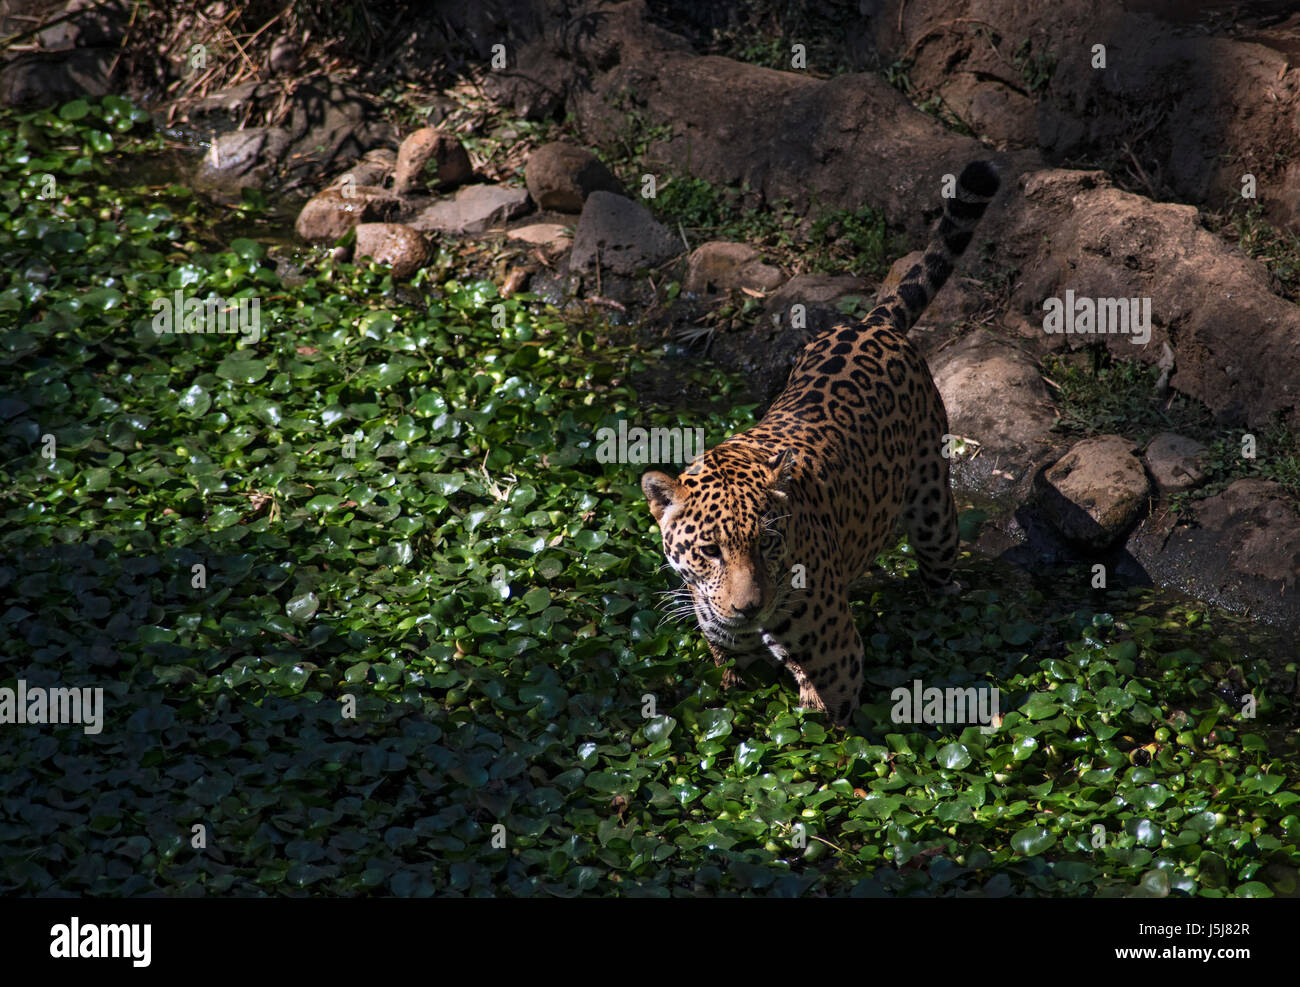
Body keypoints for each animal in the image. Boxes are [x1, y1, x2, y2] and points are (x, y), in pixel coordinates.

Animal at [641, 160, 1001, 727]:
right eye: (709, 550)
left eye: (768, 543)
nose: (749, 607)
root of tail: (872, 322)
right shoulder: (728, 653)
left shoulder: (835, 666)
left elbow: (821, 733)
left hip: (932, 506)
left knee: (940, 563)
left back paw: (945, 598)